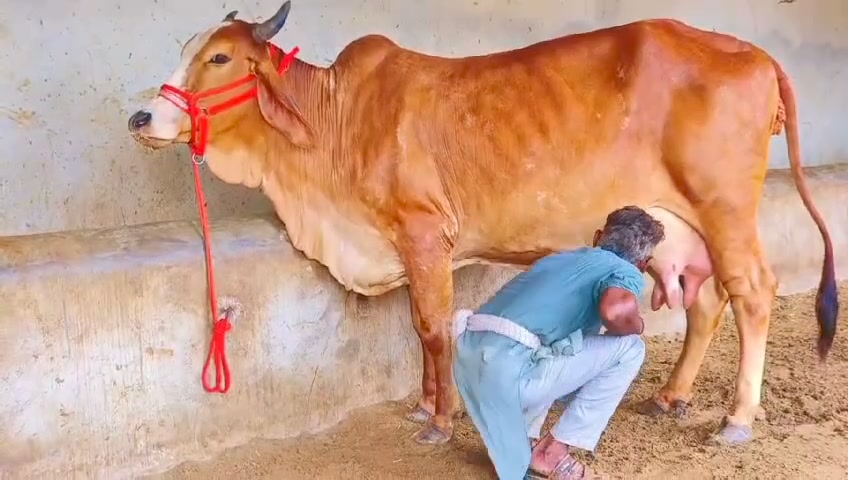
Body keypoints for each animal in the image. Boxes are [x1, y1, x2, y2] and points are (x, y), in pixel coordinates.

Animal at [127, 1, 838, 448]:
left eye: (220, 58)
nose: (143, 119)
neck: (336, 123)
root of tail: (751, 52)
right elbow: (419, 330)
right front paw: (423, 403)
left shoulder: (423, 233)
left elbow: (433, 328)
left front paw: (438, 421)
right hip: (682, 223)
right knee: (708, 300)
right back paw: (669, 396)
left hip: (725, 209)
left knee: (753, 293)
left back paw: (738, 418)